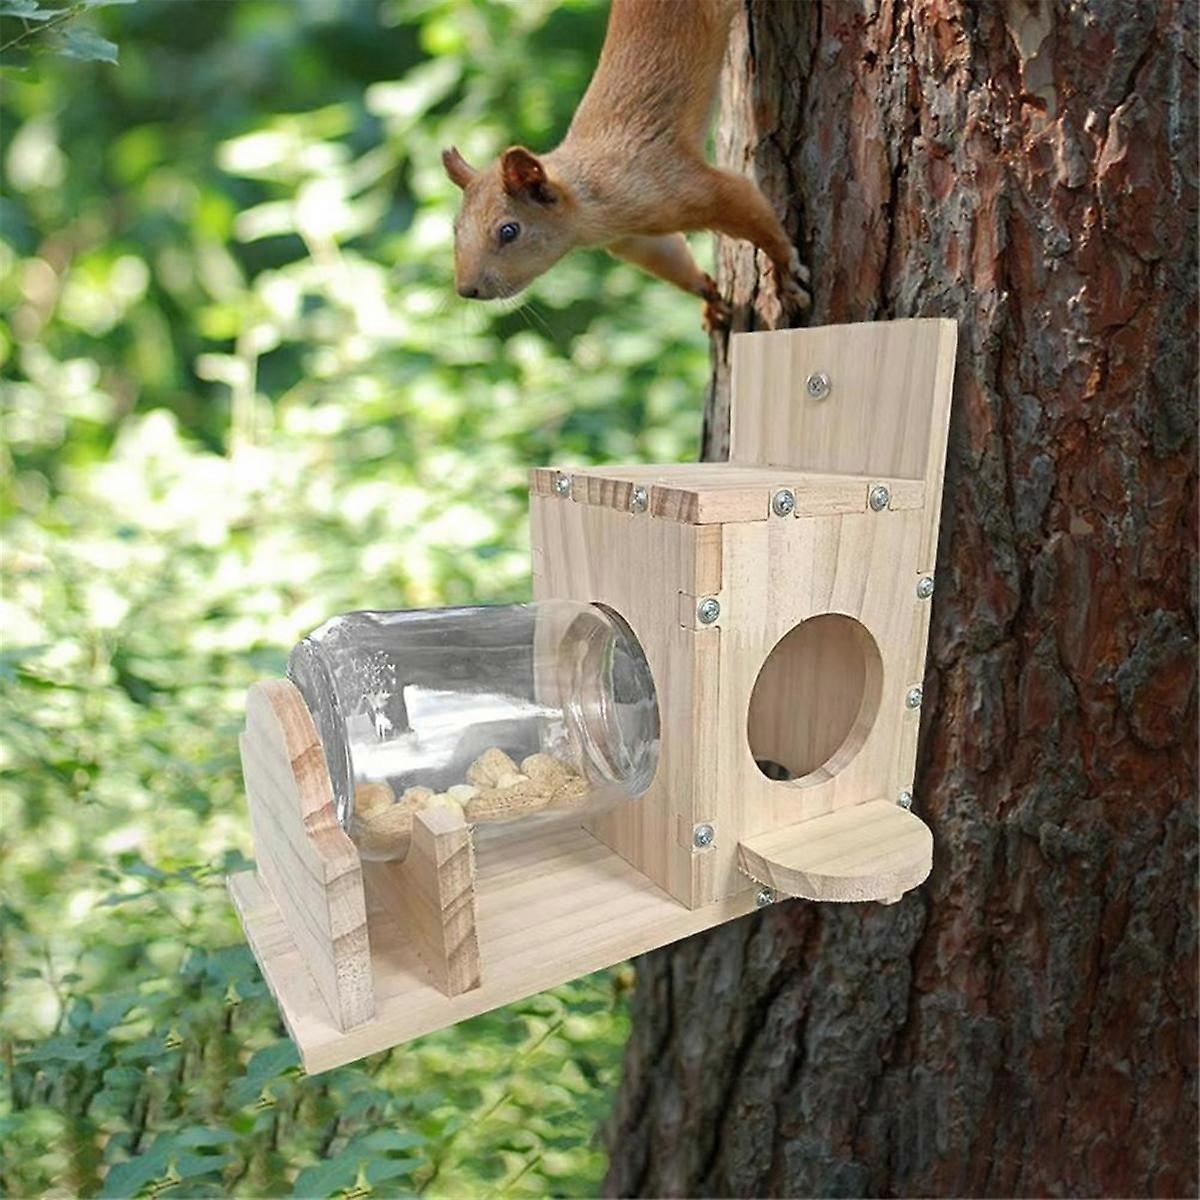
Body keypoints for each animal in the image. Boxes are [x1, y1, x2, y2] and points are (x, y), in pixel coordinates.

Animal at [442, 0, 810, 330]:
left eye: (509, 231)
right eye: (455, 227)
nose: (467, 289)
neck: (590, 207)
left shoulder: (676, 186)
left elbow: (744, 202)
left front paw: (785, 270)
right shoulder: (631, 239)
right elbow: (666, 255)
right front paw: (707, 294)